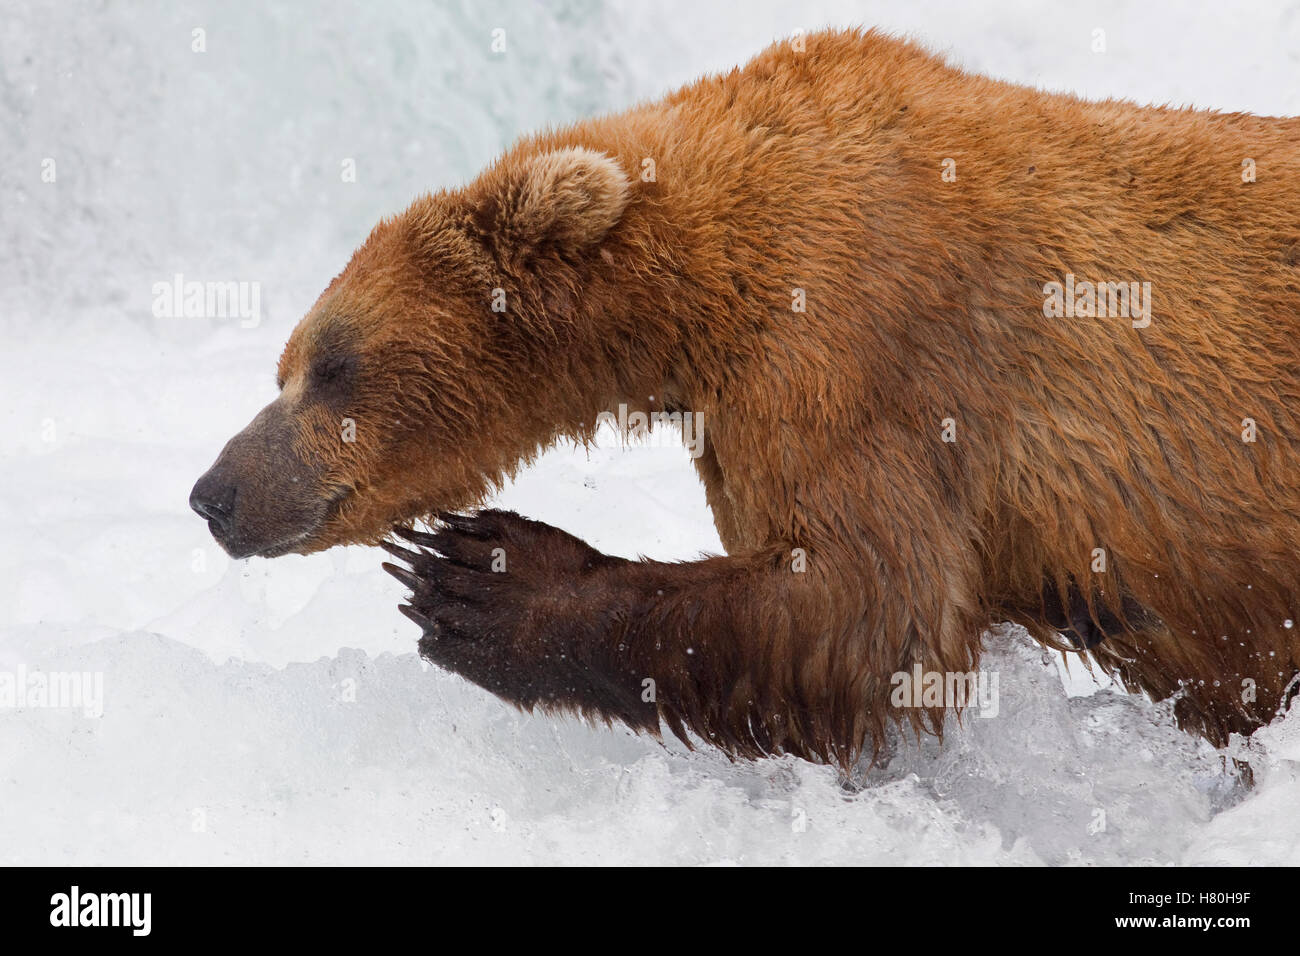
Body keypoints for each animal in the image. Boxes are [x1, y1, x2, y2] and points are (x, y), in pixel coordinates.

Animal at [191, 27, 1300, 768]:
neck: (694, 294)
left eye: (331, 362)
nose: (214, 492)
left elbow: (871, 602)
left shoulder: (854, 346)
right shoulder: (736, 410)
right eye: (283, 363)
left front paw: (477, 575)